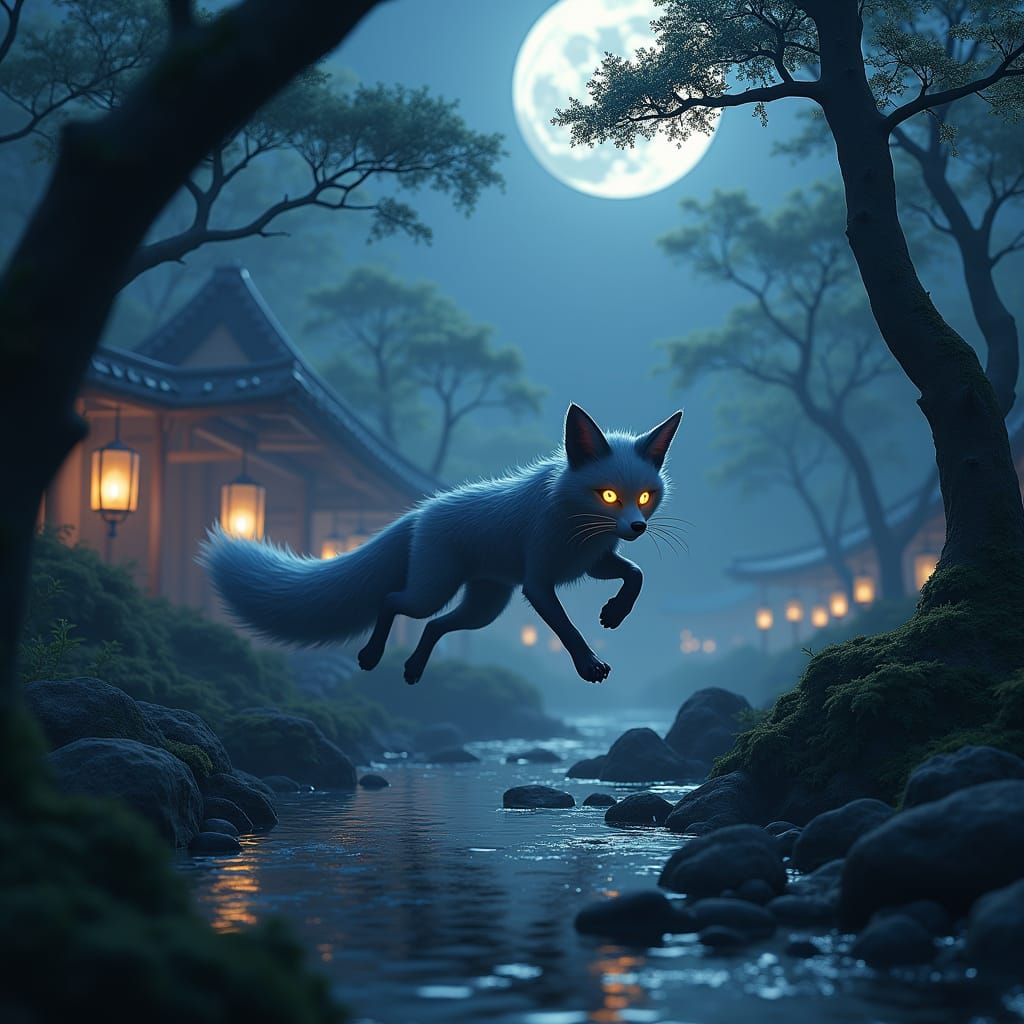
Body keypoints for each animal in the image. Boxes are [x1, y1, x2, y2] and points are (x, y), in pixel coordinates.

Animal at [200, 403, 683, 685]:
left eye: (644, 497)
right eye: (608, 495)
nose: (637, 527)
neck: (578, 526)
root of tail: (420, 512)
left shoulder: (592, 563)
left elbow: (636, 576)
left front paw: (614, 613)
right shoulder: (539, 583)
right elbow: (567, 630)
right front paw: (588, 664)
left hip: (483, 608)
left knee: (434, 626)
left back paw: (413, 668)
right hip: (435, 590)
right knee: (392, 600)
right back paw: (372, 656)